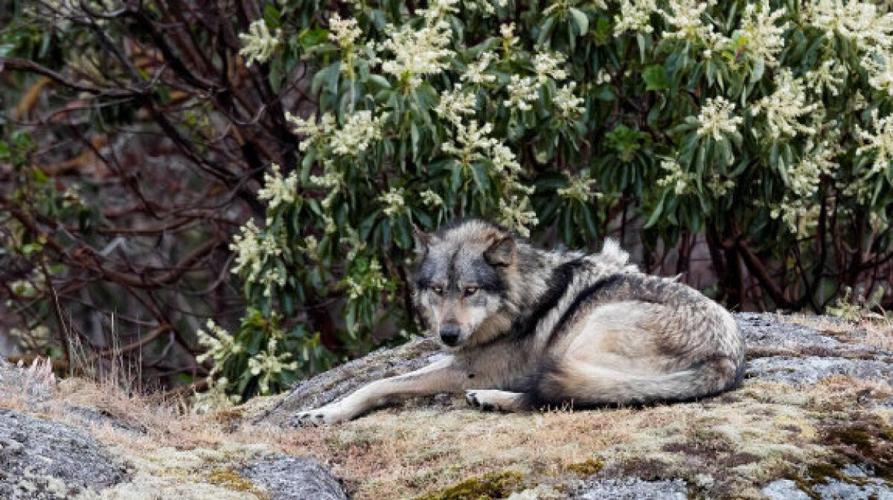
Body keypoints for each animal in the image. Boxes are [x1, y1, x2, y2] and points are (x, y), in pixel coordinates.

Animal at [296, 219, 745, 425]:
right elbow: (380, 379)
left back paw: (492, 399)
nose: (448, 334)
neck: (520, 300)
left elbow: (382, 382)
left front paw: (329, 413)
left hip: (587, 335)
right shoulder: (462, 358)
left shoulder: (470, 370)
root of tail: (727, 360)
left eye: (471, 290)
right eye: (439, 289)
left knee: (557, 396)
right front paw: (322, 409)